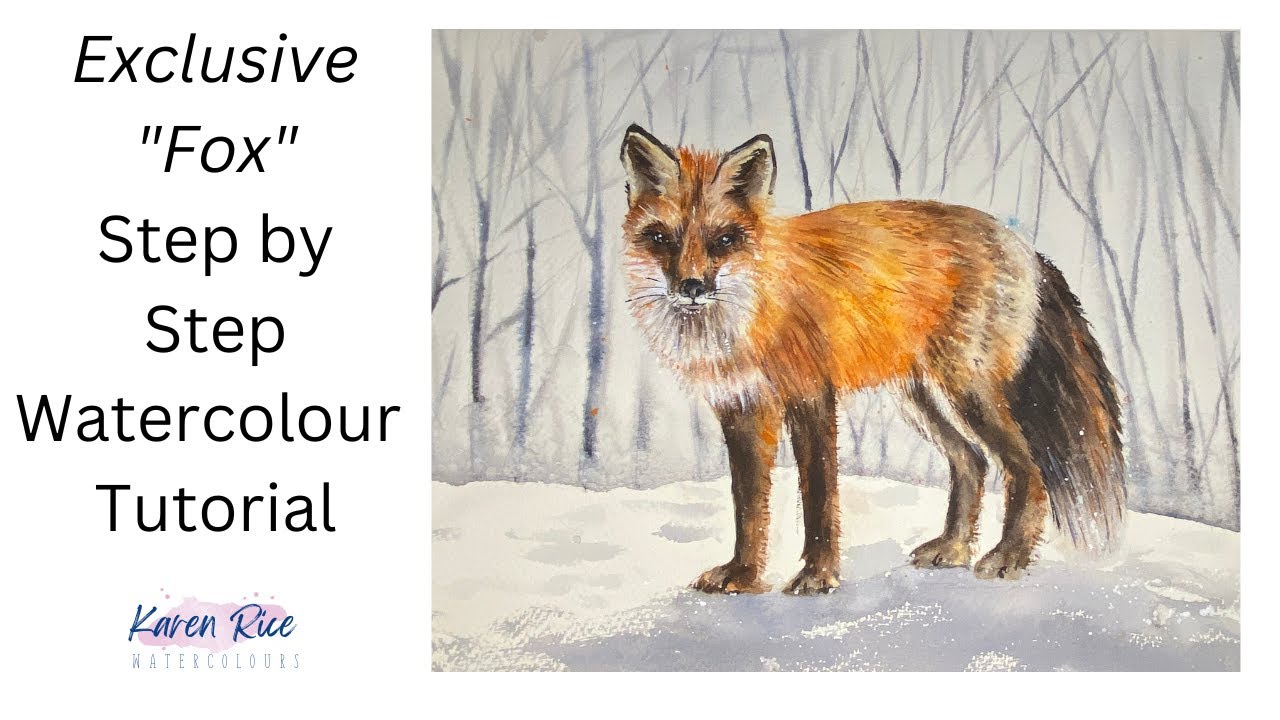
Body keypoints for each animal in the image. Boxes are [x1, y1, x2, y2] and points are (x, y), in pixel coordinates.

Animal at [619, 124, 1126, 595]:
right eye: (662, 238)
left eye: (723, 240)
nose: (691, 287)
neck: (747, 314)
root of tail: (1023, 245)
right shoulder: (741, 407)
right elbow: (748, 507)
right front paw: (743, 575)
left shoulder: (810, 395)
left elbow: (819, 498)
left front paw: (818, 576)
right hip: (918, 399)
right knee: (972, 461)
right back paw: (953, 548)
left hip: (969, 391)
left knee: (1028, 469)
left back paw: (1008, 557)